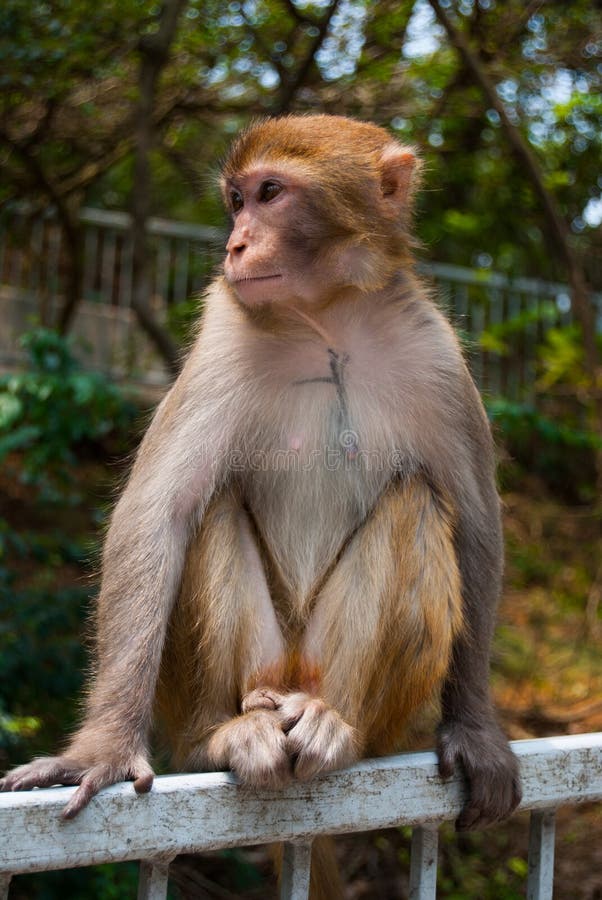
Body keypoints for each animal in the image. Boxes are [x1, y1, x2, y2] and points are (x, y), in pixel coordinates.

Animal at [0, 115, 521, 895]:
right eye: (235, 200)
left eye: (271, 194)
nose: (235, 245)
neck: (327, 318)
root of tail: (287, 681)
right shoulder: (221, 335)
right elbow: (158, 515)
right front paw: (102, 748)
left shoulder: (437, 353)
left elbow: (478, 526)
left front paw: (476, 731)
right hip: (241, 671)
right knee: (213, 508)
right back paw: (224, 734)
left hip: (353, 687)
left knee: (418, 502)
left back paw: (336, 725)